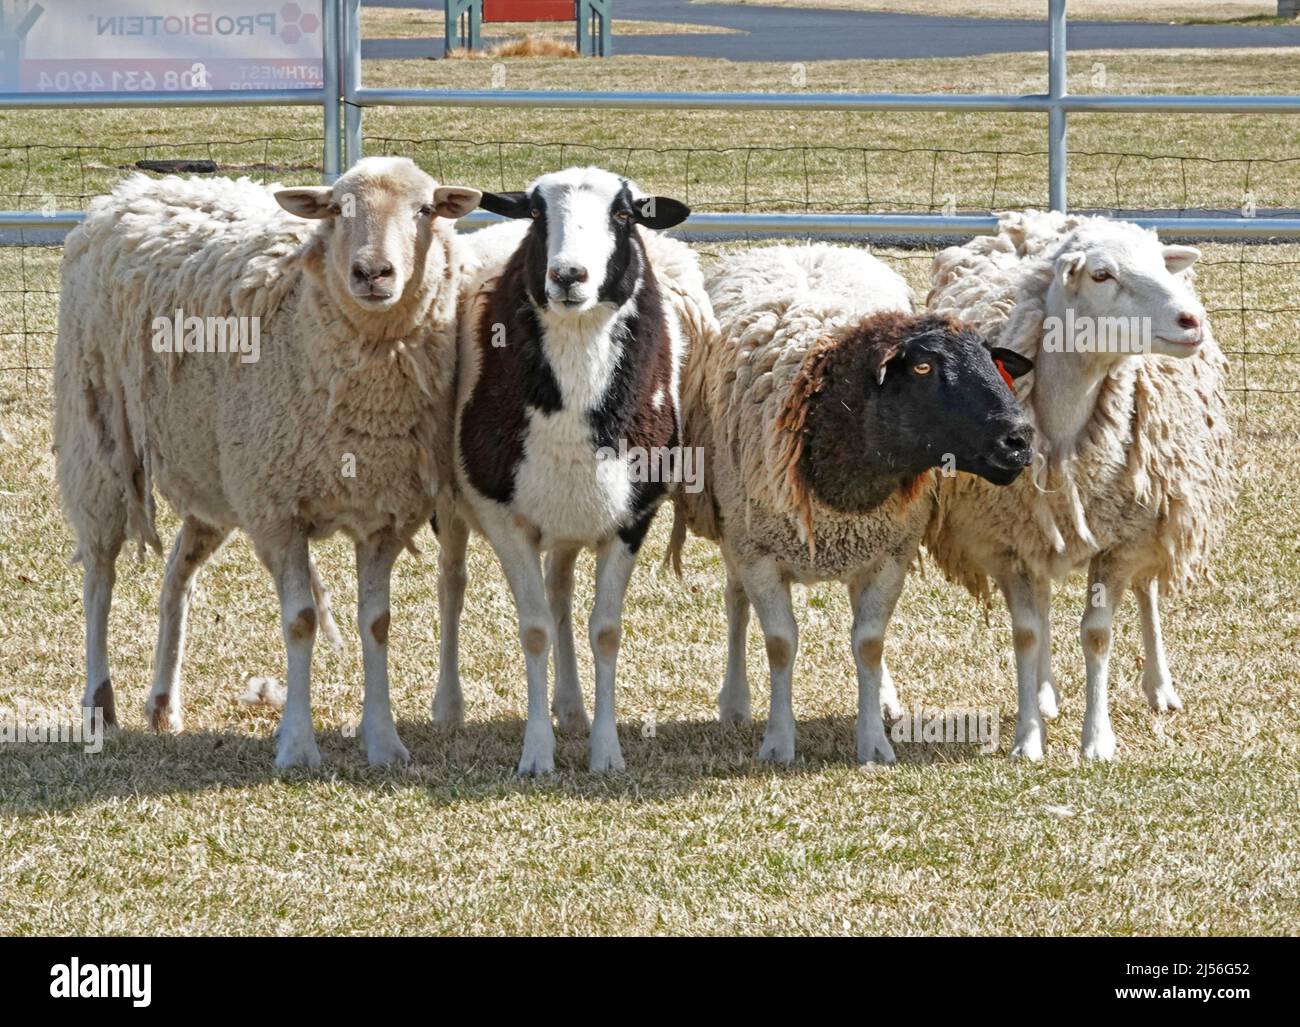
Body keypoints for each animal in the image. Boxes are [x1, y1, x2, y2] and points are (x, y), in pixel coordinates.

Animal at [53, 157, 483, 769]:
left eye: (425, 209)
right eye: (337, 209)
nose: (372, 273)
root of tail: (128, 193)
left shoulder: (384, 513)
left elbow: (377, 624)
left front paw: (383, 740)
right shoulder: (277, 511)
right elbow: (301, 621)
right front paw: (298, 744)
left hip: (213, 475)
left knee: (176, 577)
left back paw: (163, 704)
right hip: (98, 439)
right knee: (99, 574)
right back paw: (98, 700)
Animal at [445, 166, 699, 774]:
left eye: (625, 214)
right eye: (537, 214)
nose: (567, 276)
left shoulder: (633, 516)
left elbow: (603, 631)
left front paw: (606, 750)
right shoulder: (503, 515)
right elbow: (535, 630)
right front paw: (537, 753)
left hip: (570, 509)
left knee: (560, 591)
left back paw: (572, 708)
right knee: (452, 585)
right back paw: (449, 707)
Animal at [668, 243, 1036, 765]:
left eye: (995, 363)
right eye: (923, 368)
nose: (1018, 440)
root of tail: (801, 245)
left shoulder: (889, 554)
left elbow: (869, 644)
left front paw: (874, 741)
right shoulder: (758, 552)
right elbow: (780, 644)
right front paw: (778, 741)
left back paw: (883, 697)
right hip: (733, 527)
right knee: (735, 601)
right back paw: (735, 701)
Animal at [924, 212, 1236, 761]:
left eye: (1161, 264)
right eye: (1101, 275)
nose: (1191, 320)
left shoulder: (1122, 539)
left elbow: (1097, 635)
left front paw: (1097, 739)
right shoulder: (1007, 541)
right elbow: (1027, 633)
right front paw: (1028, 737)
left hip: (1152, 511)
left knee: (1147, 593)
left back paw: (1160, 688)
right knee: (1045, 602)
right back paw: (1047, 694)